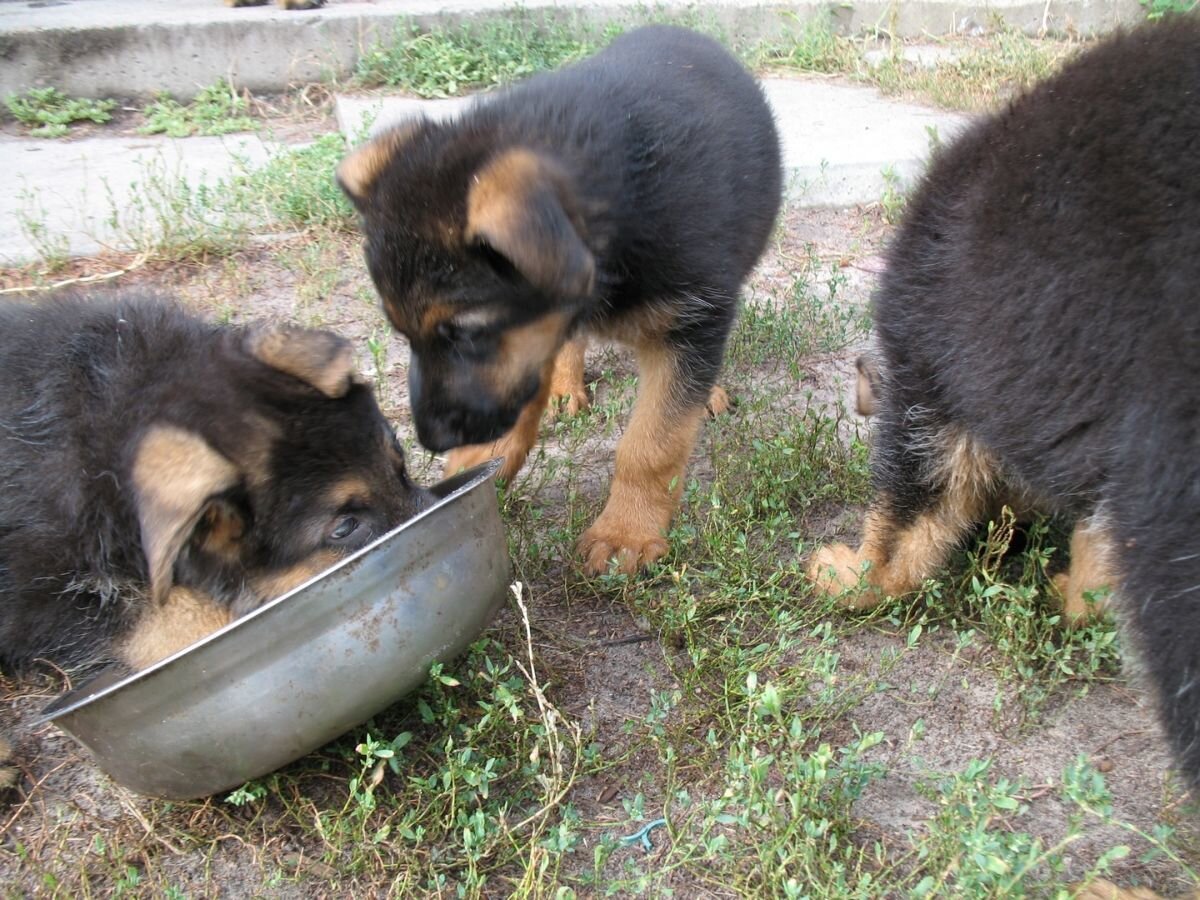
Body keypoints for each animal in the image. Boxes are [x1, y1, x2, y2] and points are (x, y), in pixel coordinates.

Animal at [340, 28, 787, 578]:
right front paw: (484, 461)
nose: (431, 440)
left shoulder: (692, 319)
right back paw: (564, 385)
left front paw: (626, 532)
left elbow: (652, 442)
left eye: (467, 333)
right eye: (402, 334)